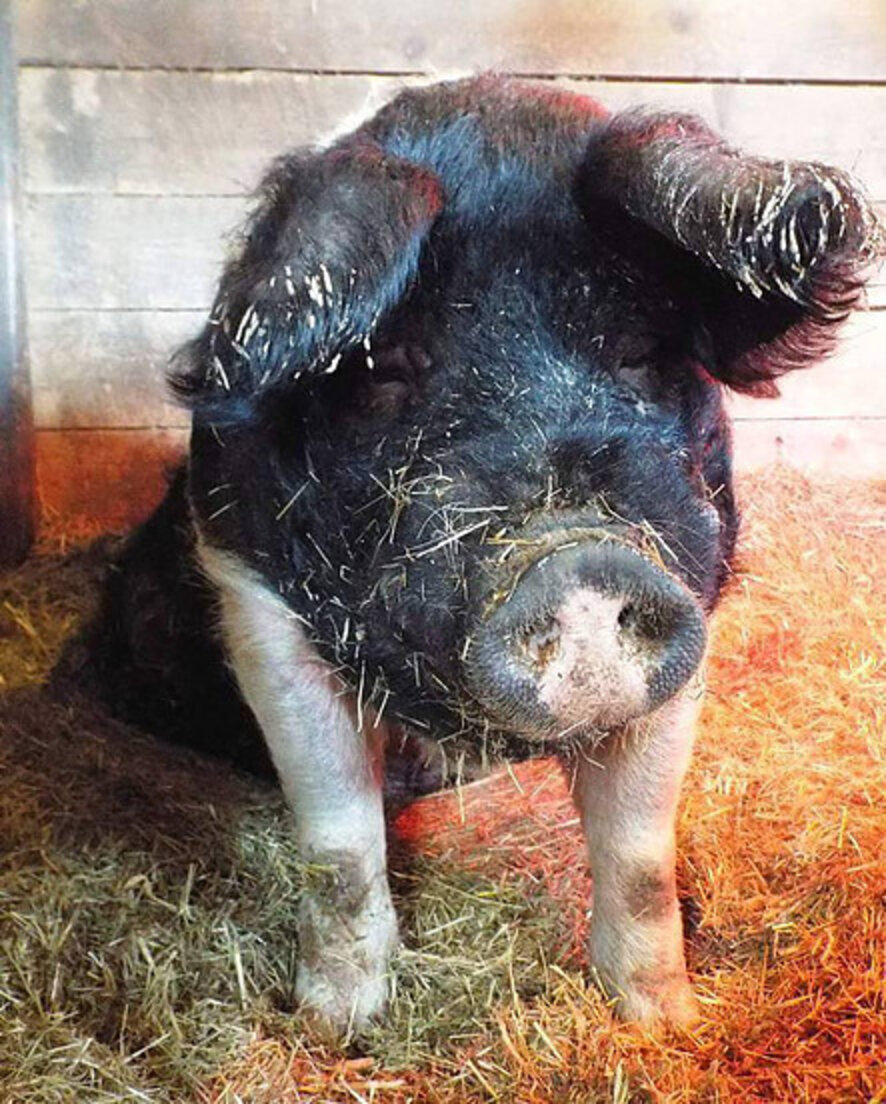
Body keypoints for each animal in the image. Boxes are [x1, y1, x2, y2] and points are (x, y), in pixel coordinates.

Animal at [71, 75, 879, 1037]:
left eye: (639, 349)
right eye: (384, 365)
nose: (578, 558)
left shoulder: (693, 602)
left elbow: (642, 857)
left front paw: (668, 1024)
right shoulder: (254, 600)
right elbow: (338, 845)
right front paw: (337, 1026)